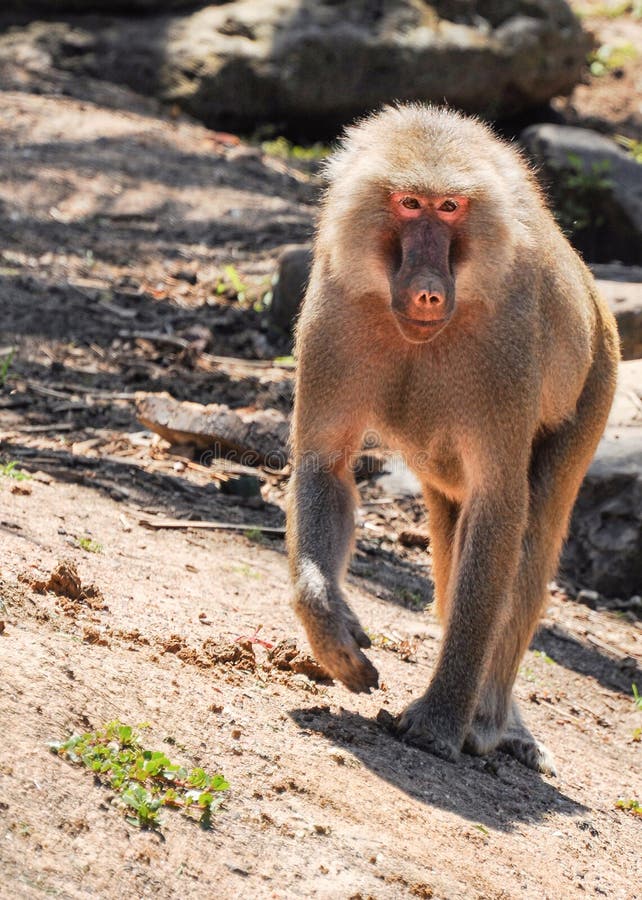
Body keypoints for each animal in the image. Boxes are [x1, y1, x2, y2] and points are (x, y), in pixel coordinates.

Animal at [286, 104, 619, 775]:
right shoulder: (337, 305)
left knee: (532, 535)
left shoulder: (507, 344)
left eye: (450, 209)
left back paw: (490, 722)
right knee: (449, 535)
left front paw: (439, 723)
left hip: (599, 377)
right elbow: (324, 466)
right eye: (409, 203)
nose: (427, 288)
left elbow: (501, 506)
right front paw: (331, 631)